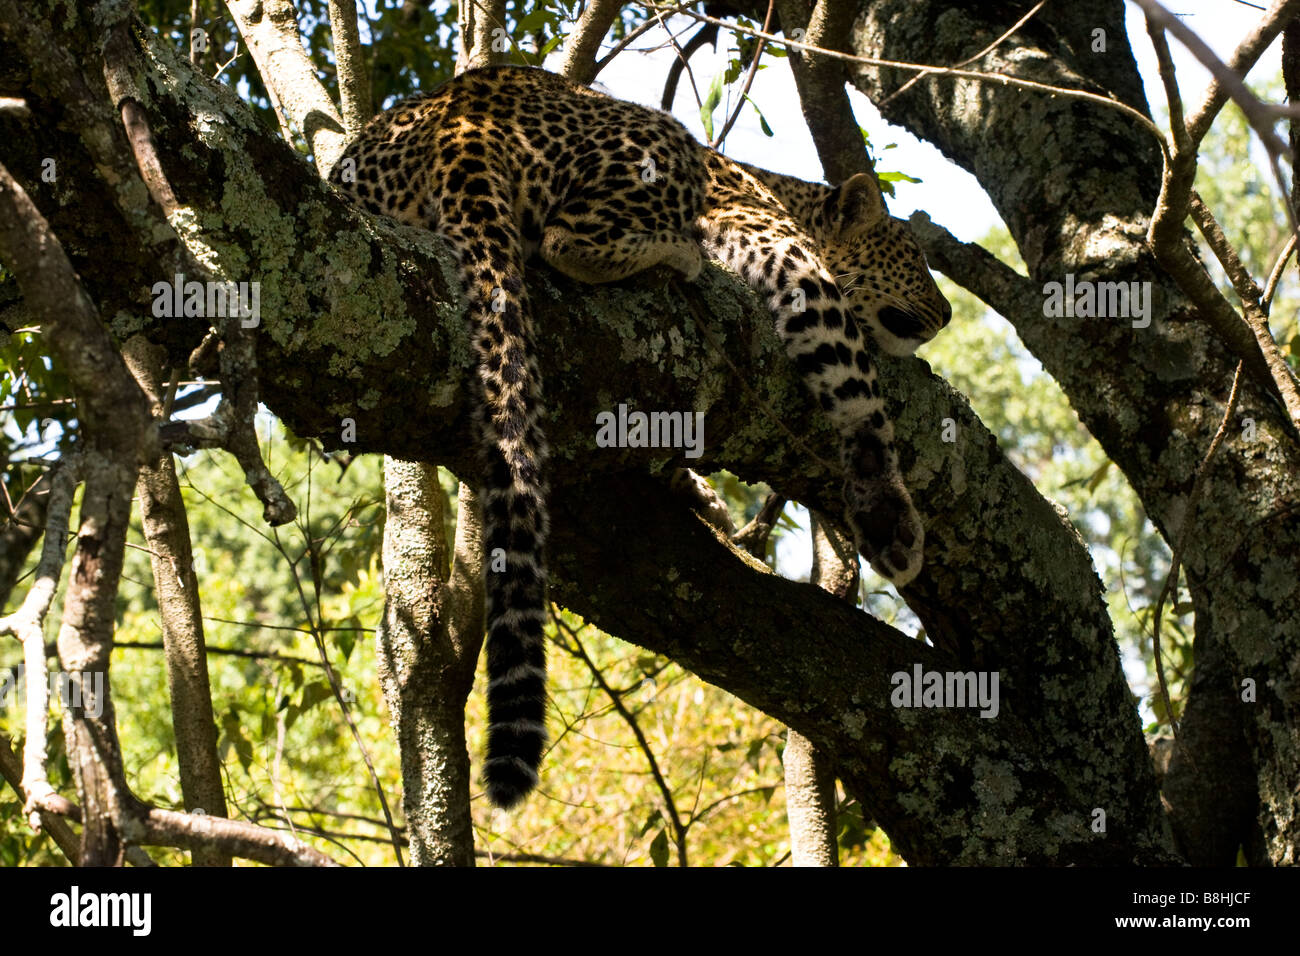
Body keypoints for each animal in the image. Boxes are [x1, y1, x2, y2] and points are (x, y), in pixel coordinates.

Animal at [328, 64, 951, 810]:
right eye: (912, 256)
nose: (948, 311)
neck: (789, 197)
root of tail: (466, 106)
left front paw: (696, 493)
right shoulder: (777, 246)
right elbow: (858, 391)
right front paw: (890, 519)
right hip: (657, 151)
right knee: (566, 242)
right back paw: (679, 254)